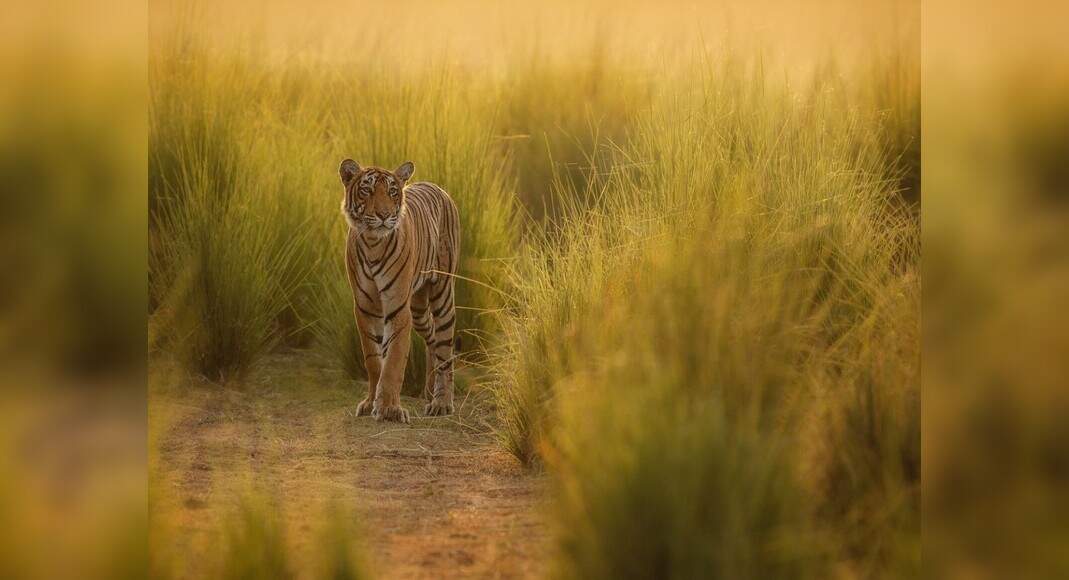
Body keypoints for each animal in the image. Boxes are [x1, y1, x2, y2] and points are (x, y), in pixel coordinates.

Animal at [338, 159, 460, 424]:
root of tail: (438, 187)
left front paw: (388, 409)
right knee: (432, 337)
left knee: (445, 349)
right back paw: (429, 391)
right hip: (418, 307)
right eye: (367, 190)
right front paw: (370, 403)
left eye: (393, 192)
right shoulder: (365, 308)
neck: (373, 243)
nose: (384, 216)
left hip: (442, 293)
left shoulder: (397, 307)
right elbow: (374, 361)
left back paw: (442, 402)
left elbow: (393, 361)